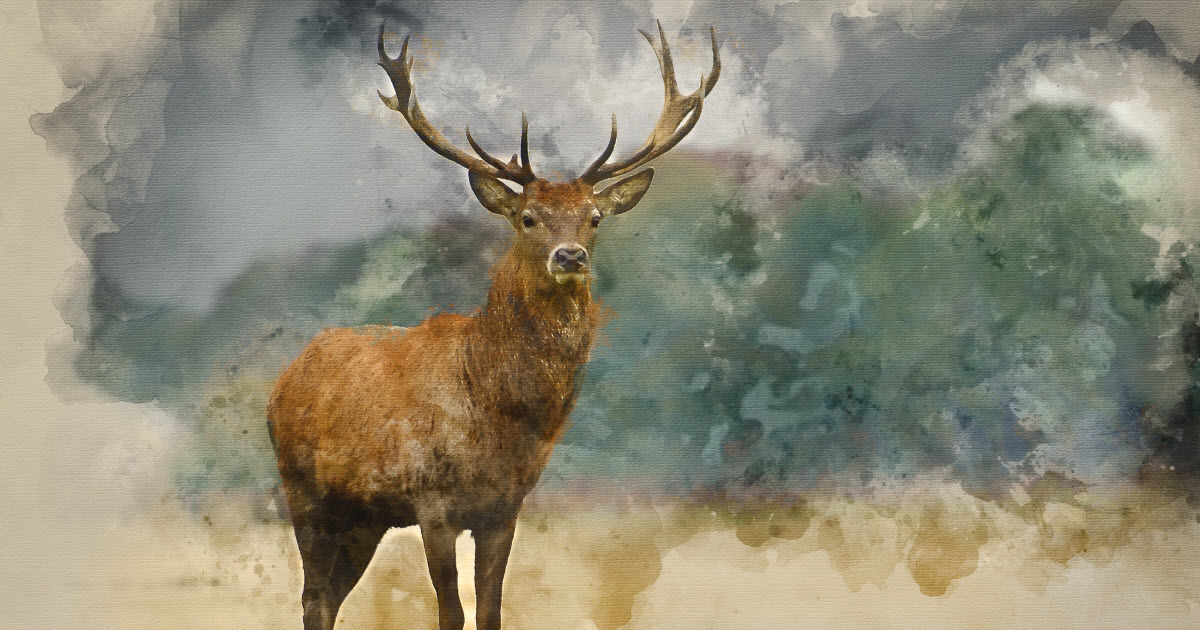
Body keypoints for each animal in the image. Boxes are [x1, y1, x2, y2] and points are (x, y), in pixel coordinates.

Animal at [267, 21, 719, 630]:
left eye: (594, 218)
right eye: (527, 217)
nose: (570, 257)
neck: (497, 412)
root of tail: (285, 378)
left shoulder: (506, 508)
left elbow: (491, 611)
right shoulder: (432, 500)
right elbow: (452, 613)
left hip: (366, 516)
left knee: (331, 596)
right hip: (305, 490)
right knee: (314, 596)